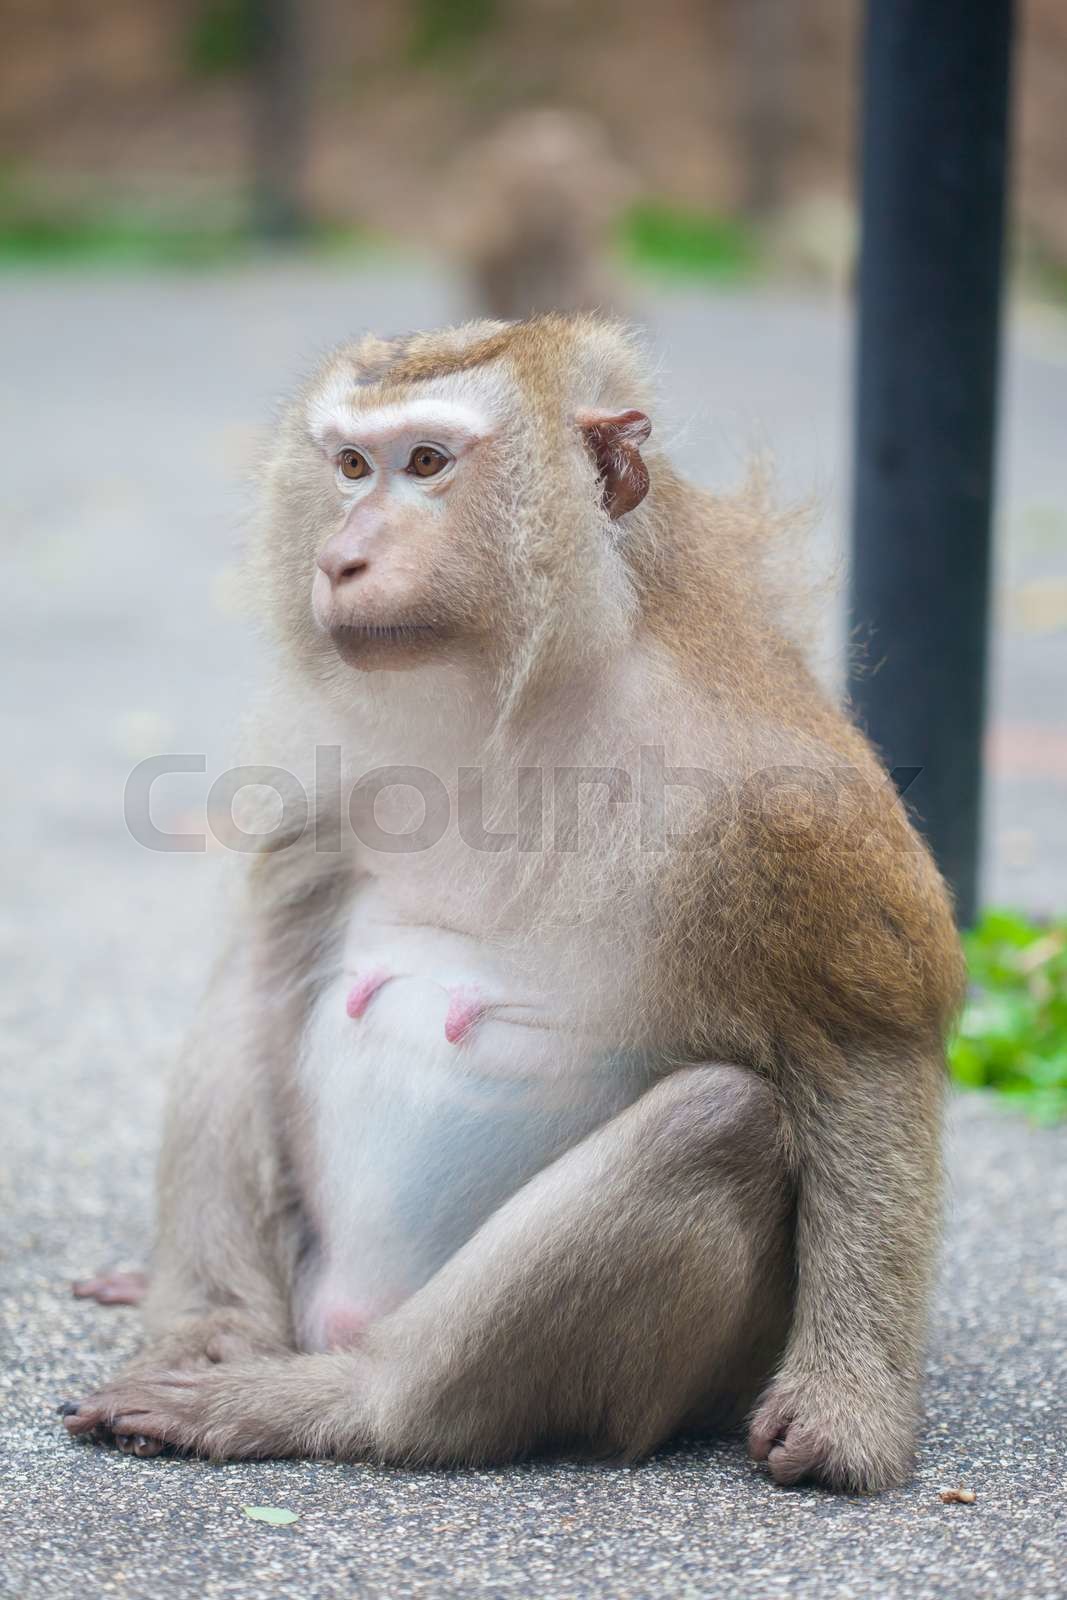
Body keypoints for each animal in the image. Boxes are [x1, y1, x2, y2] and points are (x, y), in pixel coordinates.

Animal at [62, 315, 964, 1491]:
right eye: (348, 466)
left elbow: (869, 1042)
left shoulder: (780, 796)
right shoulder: (332, 760)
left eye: (426, 463)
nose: (338, 557)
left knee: (718, 1119)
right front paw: (204, 1324)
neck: (523, 699)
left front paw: (843, 1412)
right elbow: (260, 969)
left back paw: (353, 1404)